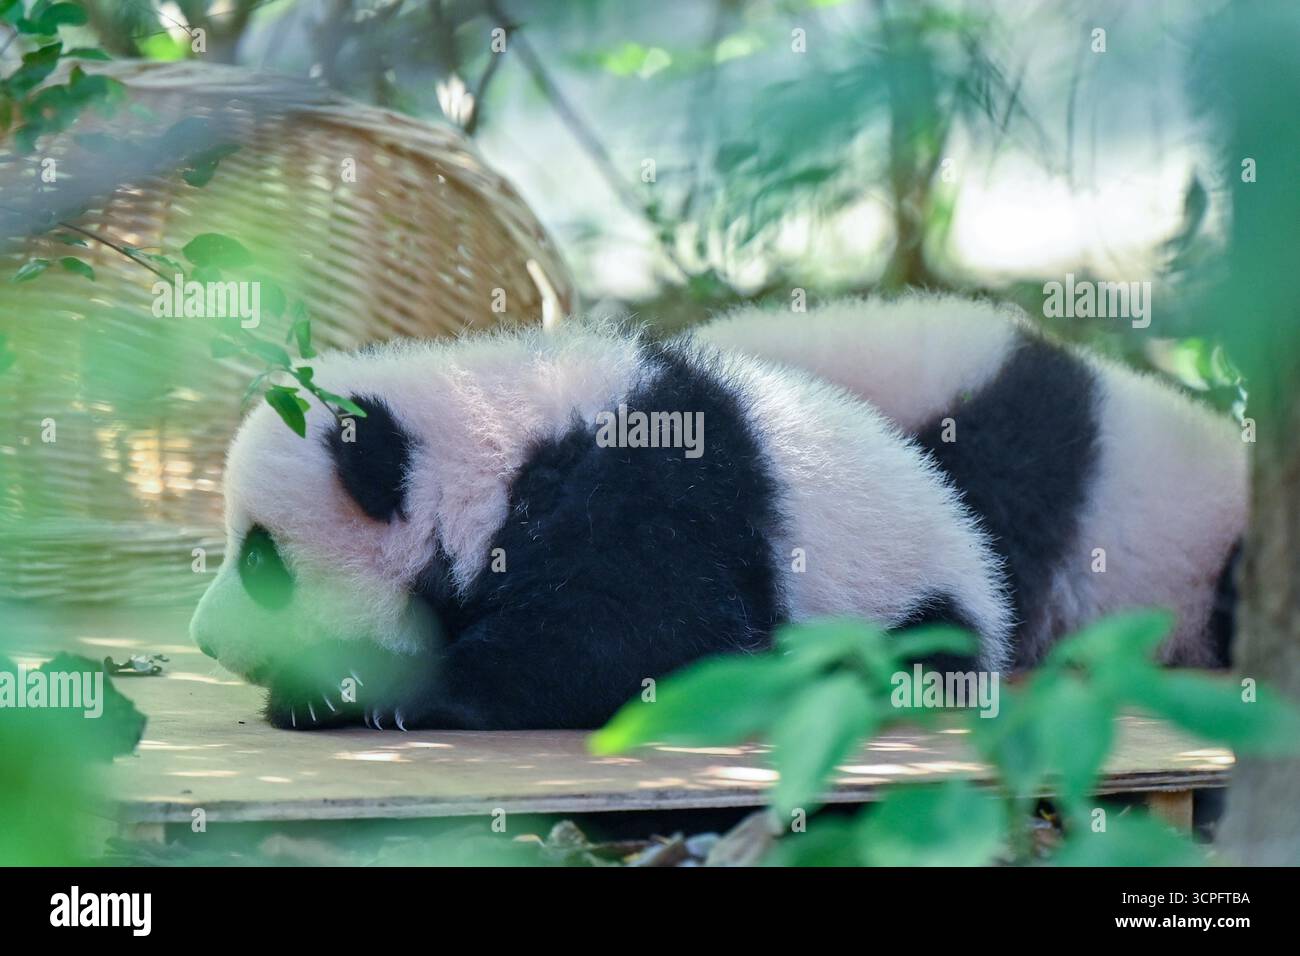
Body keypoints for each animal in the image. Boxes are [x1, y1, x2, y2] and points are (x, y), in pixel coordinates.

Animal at [190, 323, 1014, 730]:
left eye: (260, 563)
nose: (206, 641)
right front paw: (320, 693)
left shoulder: (654, 499)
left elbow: (631, 635)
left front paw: (393, 693)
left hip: (906, 604)